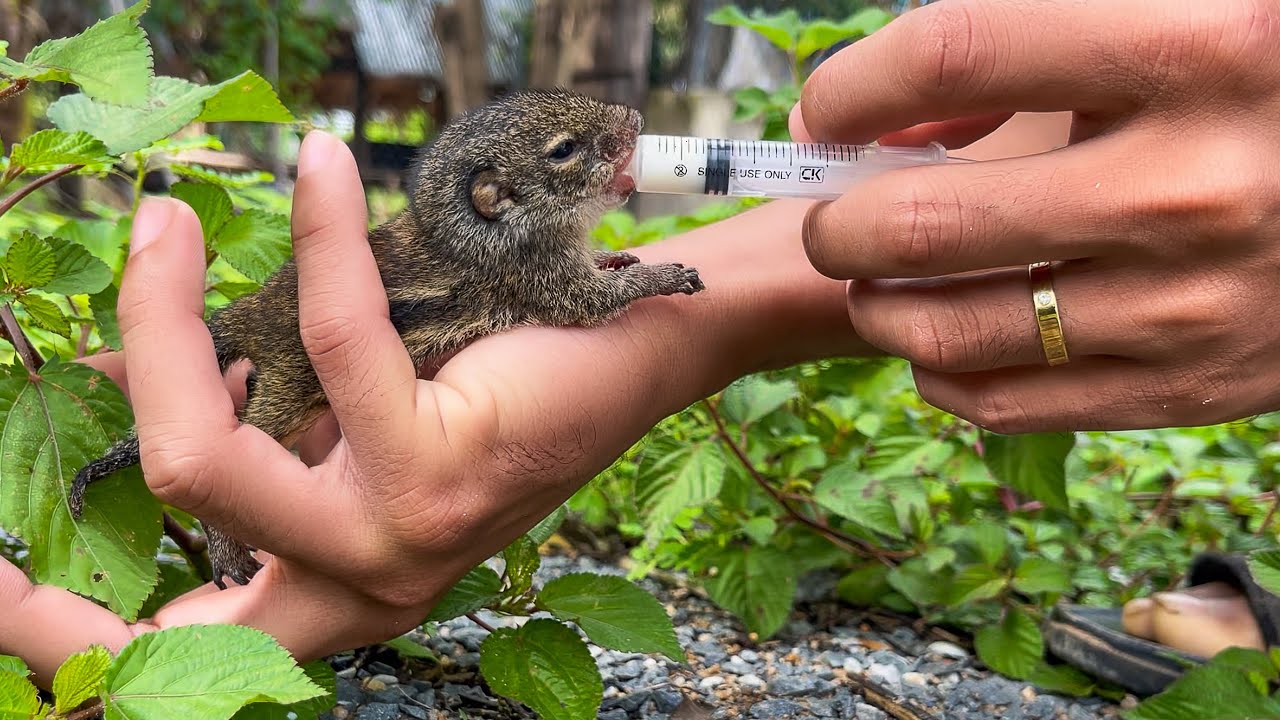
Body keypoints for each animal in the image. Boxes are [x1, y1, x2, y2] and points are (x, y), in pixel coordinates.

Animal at [68, 88, 705, 589]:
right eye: (566, 149)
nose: (634, 118)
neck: (488, 236)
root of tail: (251, 313)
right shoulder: (544, 284)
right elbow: (594, 301)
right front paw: (660, 277)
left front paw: (615, 256)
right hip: (285, 392)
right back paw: (223, 545)